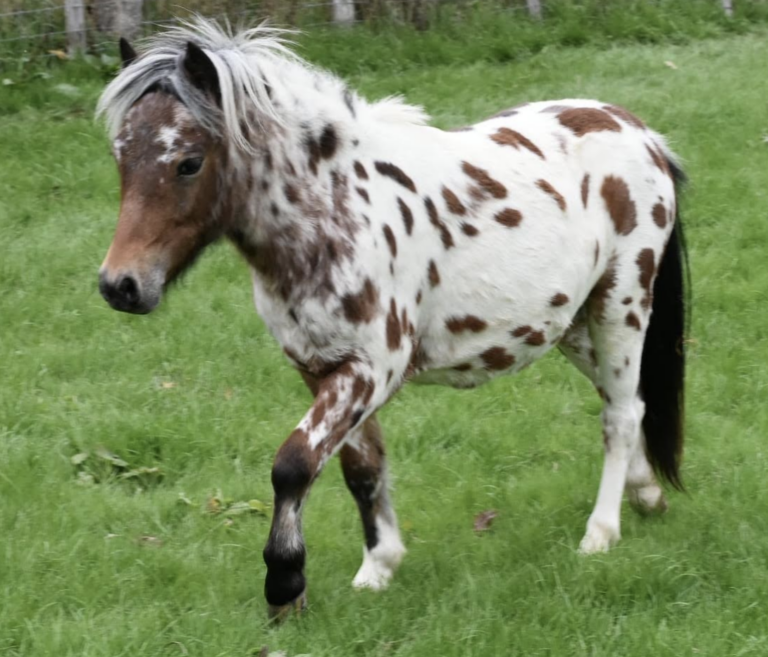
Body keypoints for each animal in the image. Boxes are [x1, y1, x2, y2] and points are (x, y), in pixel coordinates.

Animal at [96, 18, 688, 619]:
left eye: (188, 162)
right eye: (119, 158)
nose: (120, 285)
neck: (335, 213)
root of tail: (639, 132)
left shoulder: (372, 369)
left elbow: (293, 464)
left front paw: (285, 584)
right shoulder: (319, 368)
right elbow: (359, 470)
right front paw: (377, 568)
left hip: (621, 304)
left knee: (619, 415)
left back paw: (601, 533)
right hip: (567, 325)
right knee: (632, 399)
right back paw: (647, 495)